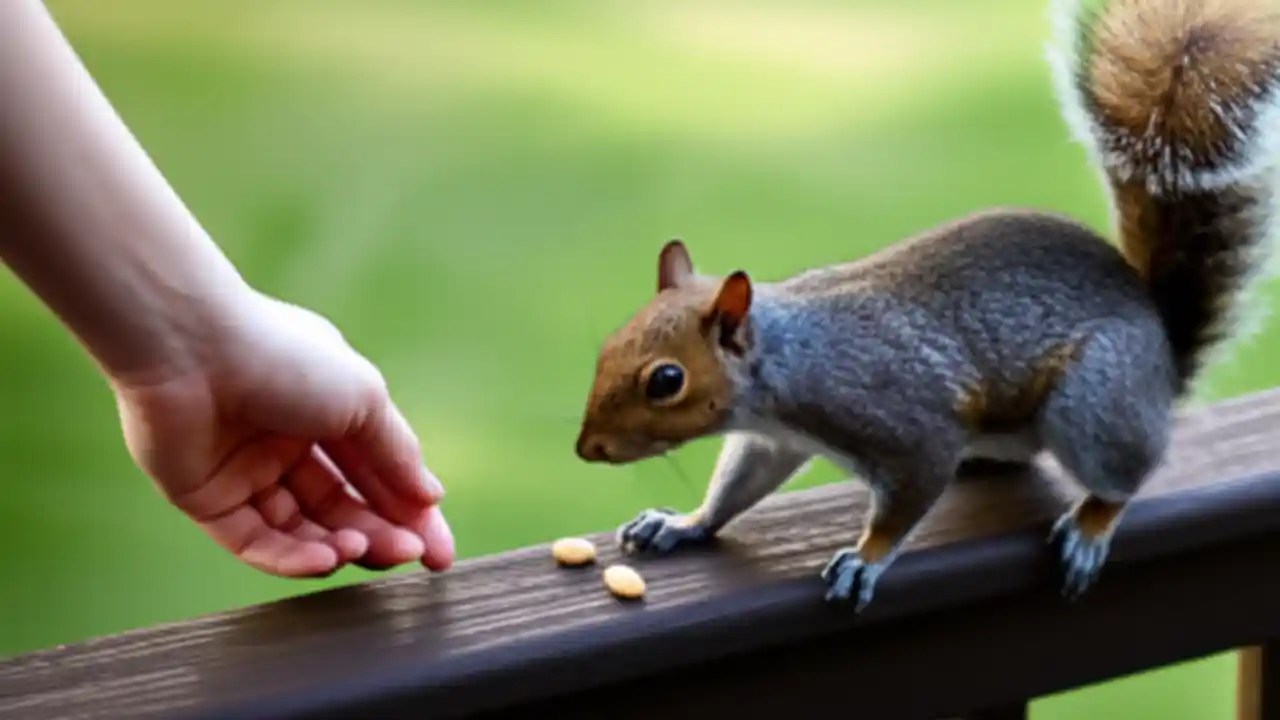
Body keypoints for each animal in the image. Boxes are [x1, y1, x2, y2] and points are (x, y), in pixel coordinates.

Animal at [574, 0, 1280, 610]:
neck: (789, 360)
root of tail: (1163, 357)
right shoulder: (773, 441)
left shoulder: (906, 425)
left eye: (666, 380)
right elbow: (738, 486)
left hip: (1094, 404)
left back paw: (1091, 524)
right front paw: (684, 523)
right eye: (608, 345)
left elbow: (907, 497)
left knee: (1125, 475)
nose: (587, 449)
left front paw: (865, 560)